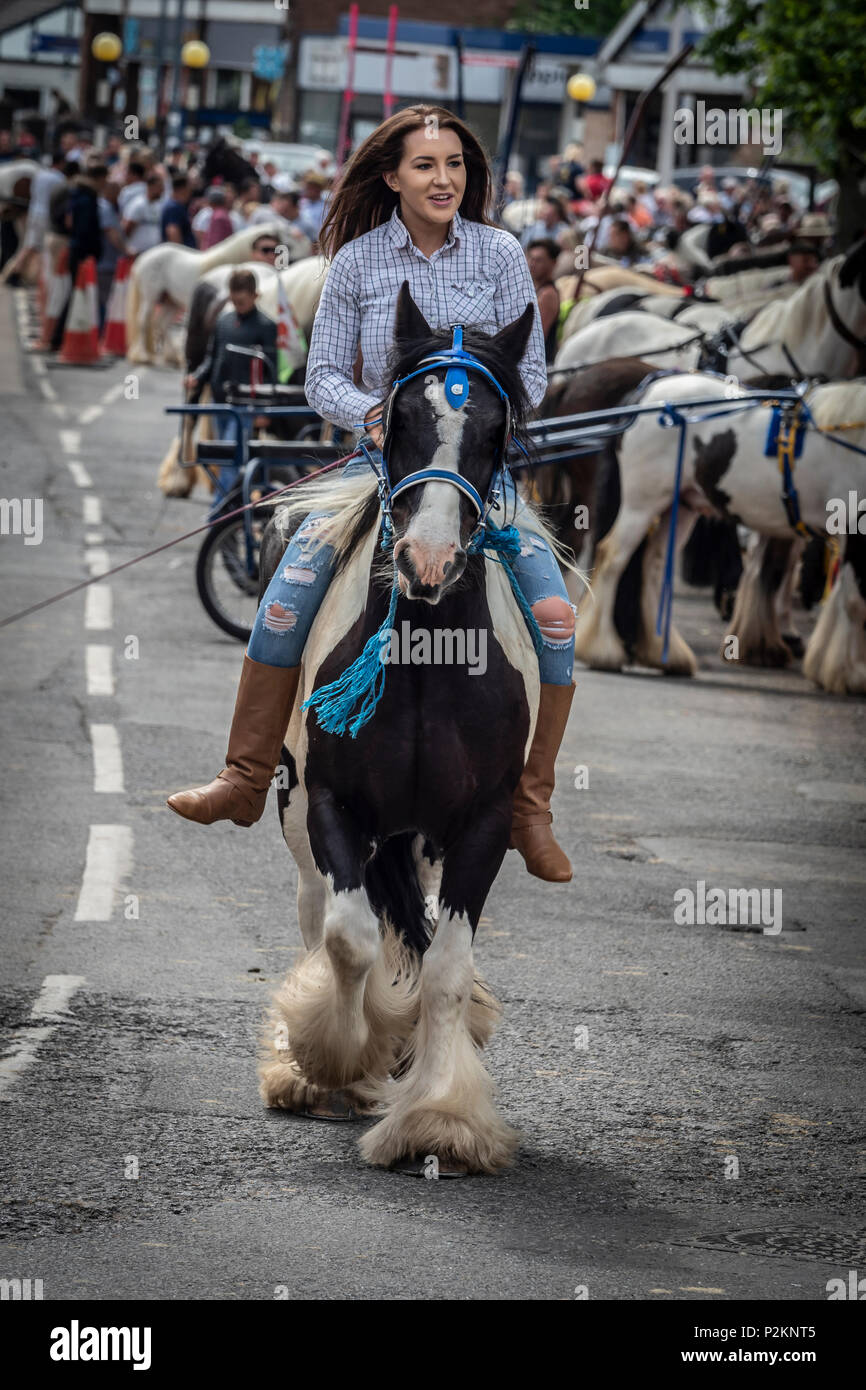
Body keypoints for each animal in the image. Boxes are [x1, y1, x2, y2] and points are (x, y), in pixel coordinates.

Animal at [256, 284, 567, 1173]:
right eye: (398, 420)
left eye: (496, 433)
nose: (428, 563)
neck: (428, 659)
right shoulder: (333, 806)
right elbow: (352, 940)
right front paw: (336, 1058)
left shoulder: (482, 824)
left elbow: (445, 969)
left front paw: (440, 1117)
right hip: (299, 824)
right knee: (320, 920)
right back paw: (319, 1071)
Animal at [573, 371, 866, 693]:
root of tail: (646, 392)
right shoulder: (854, 525)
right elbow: (854, 602)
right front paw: (850, 673)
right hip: (643, 503)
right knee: (612, 558)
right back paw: (602, 651)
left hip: (681, 505)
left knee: (654, 566)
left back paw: (663, 653)